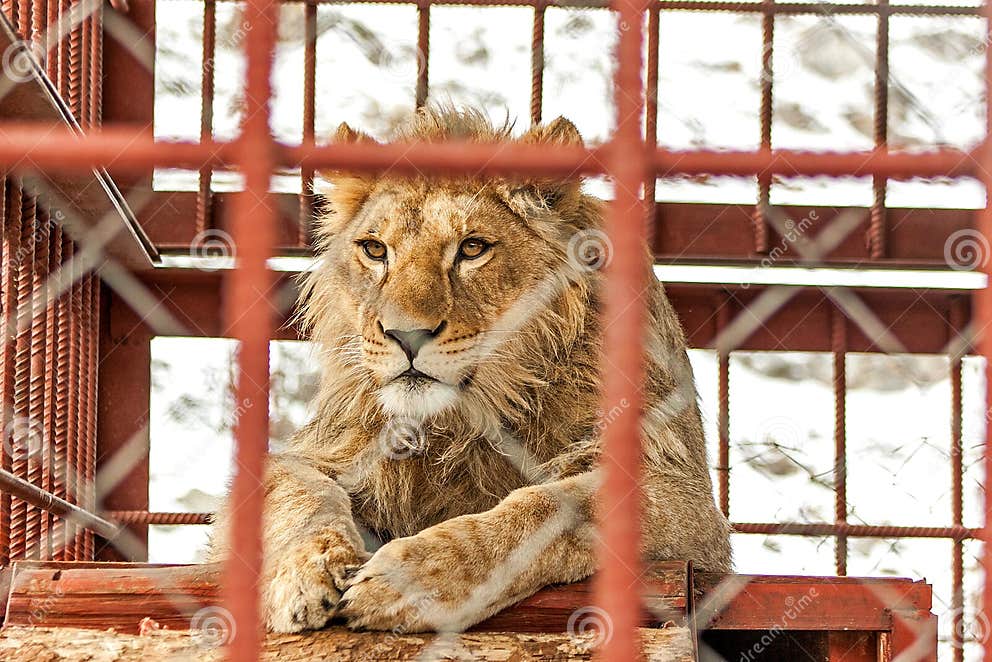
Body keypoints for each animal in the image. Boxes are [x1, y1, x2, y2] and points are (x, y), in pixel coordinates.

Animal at [210, 105, 732, 634]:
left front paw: (417, 577)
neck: (468, 420)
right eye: (375, 250)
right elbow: (299, 490)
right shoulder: (328, 451)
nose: (406, 336)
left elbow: (548, 505)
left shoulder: (688, 504)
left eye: (473, 248)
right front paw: (306, 570)